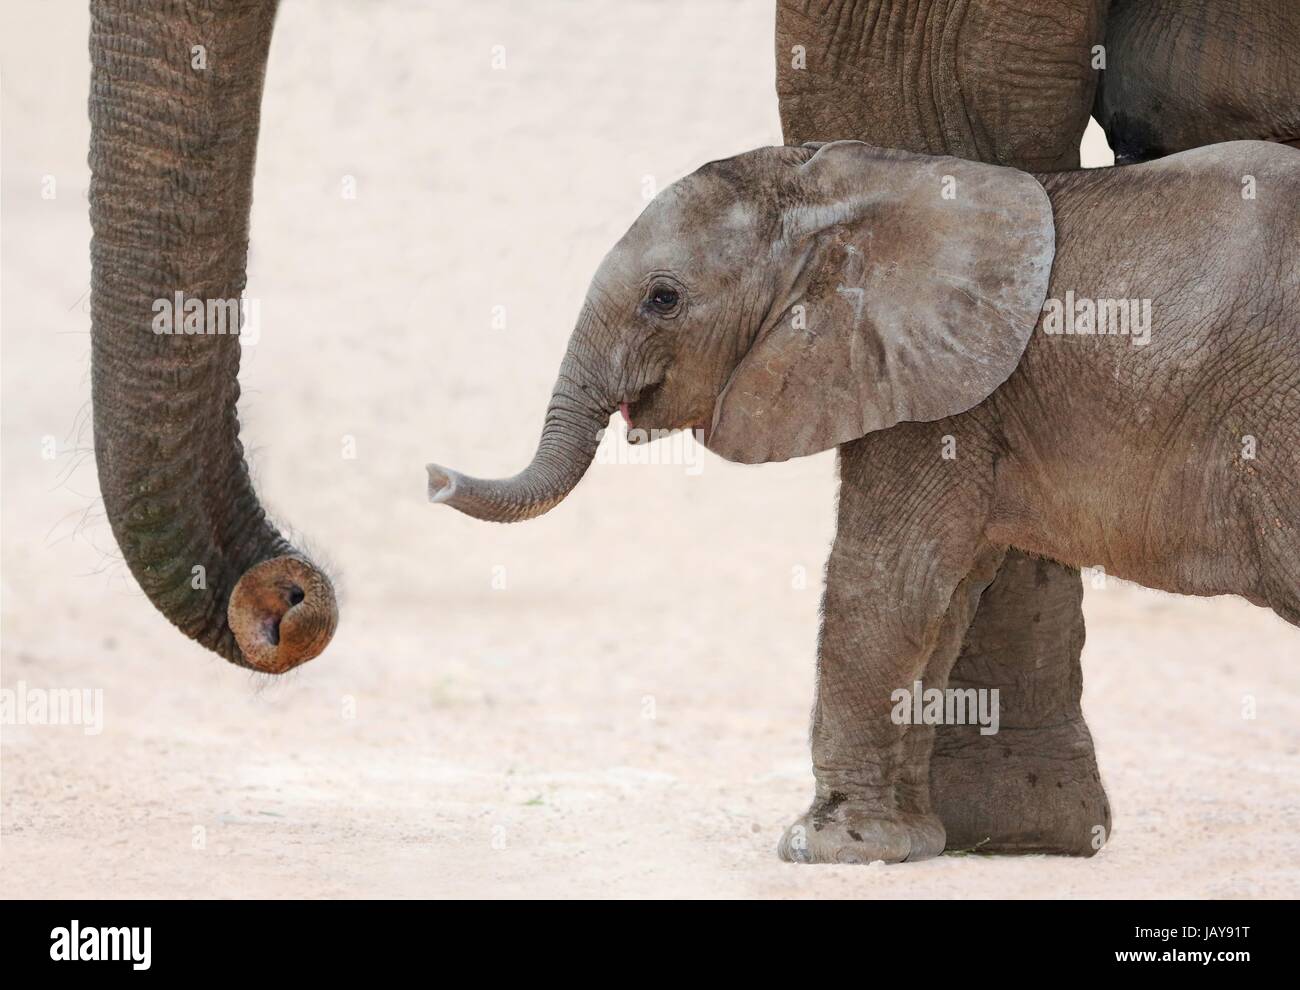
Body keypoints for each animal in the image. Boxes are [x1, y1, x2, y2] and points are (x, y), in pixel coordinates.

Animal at [426, 138, 1300, 863]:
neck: (844, 187)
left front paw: (820, 848)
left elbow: (885, 580)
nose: (431, 477)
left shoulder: (933, 393)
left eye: (663, 300)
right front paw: (906, 846)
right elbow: (943, 600)